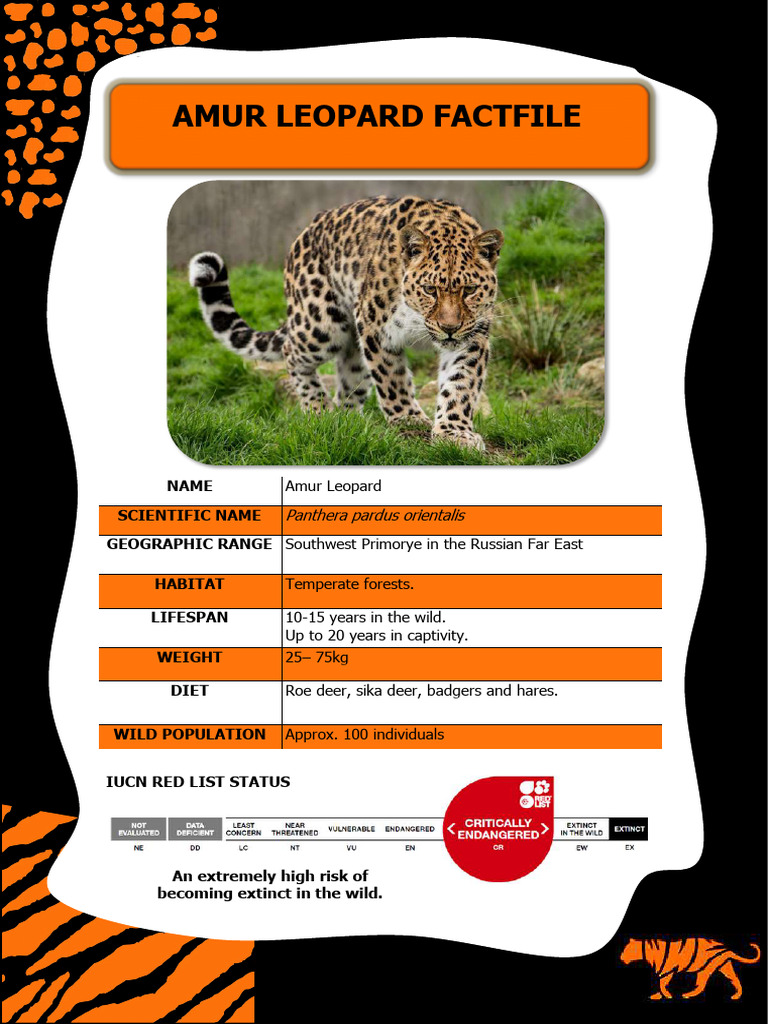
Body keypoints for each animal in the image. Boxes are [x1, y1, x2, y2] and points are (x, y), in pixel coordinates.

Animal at [189, 195, 504, 451]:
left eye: (469, 290)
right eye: (430, 290)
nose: (449, 328)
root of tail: (304, 232)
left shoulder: (472, 336)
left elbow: (461, 385)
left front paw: (454, 433)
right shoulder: (376, 327)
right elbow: (392, 379)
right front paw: (409, 420)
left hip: (351, 341)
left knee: (349, 378)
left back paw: (346, 423)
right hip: (322, 324)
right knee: (292, 351)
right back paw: (318, 409)